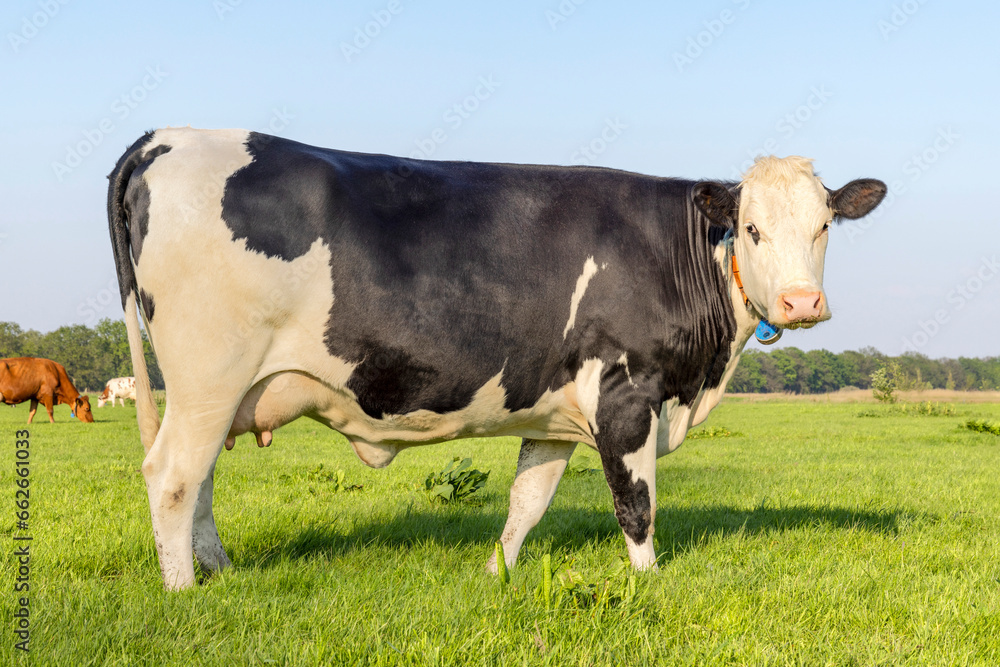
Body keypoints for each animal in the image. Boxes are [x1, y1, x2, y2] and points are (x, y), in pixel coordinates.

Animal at [107, 127, 885, 590]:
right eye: (751, 229)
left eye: (824, 225)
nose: (801, 302)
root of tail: (172, 136)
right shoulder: (627, 393)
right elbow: (635, 504)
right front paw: (648, 584)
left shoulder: (555, 409)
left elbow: (527, 502)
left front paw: (495, 574)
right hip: (210, 371)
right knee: (173, 476)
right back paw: (184, 590)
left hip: (220, 387)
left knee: (200, 477)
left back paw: (220, 569)